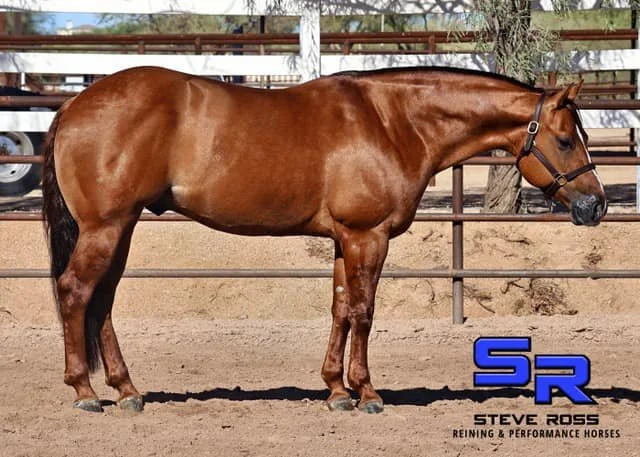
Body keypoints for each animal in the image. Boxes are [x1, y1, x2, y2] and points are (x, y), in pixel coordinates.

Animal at [42, 66, 606, 414]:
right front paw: (367, 392)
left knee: (102, 301)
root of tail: (73, 106)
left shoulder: (343, 239)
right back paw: (84, 391)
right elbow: (364, 310)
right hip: (107, 227)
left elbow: (340, 308)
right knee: (75, 292)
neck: (393, 121)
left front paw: (336, 389)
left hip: (122, 227)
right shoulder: (367, 236)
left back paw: (127, 390)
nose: (596, 205)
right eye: (564, 139)